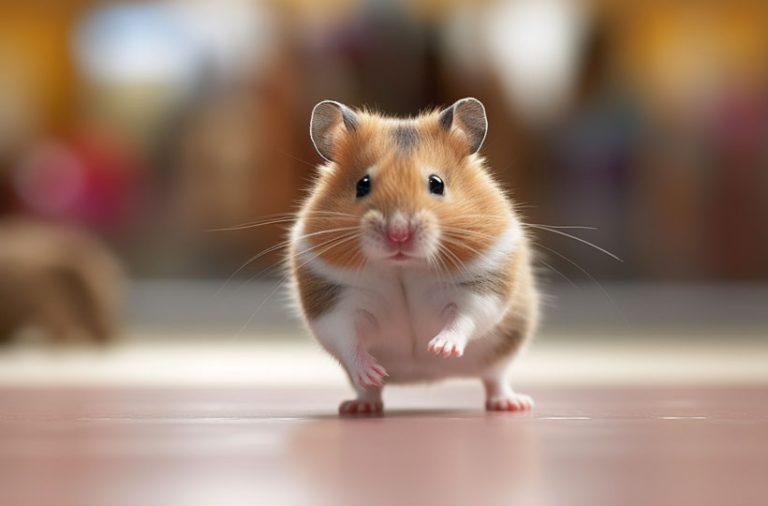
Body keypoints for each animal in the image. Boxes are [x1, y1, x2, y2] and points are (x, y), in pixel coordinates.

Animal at [289, 98, 539, 415]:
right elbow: (348, 337)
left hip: (505, 346)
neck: (403, 267)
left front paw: (440, 348)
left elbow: (464, 317)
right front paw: (372, 371)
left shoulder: (482, 288)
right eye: (362, 184)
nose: (398, 235)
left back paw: (512, 404)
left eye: (437, 183)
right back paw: (360, 405)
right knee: (369, 391)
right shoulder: (335, 302)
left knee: (495, 377)